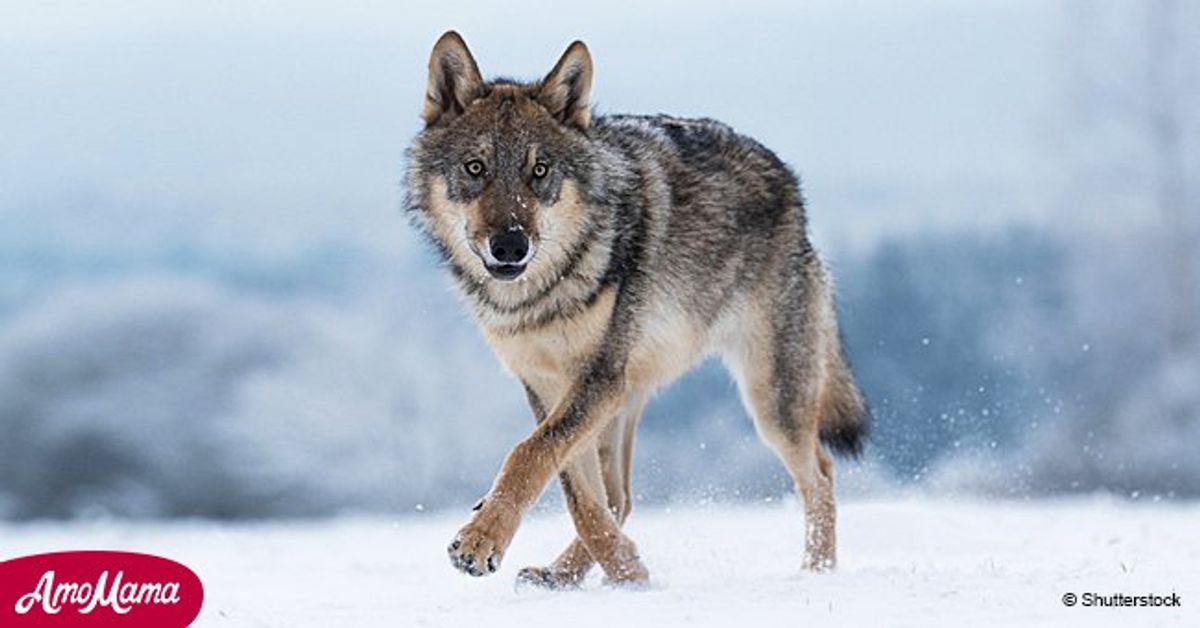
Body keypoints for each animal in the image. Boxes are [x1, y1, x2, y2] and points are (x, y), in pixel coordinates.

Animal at [405, 31, 868, 587]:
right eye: (476, 168)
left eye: (540, 171)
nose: (510, 246)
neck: (541, 295)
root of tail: (791, 184)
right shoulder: (547, 384)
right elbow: (575, 490)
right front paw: (626, 569)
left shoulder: (598, 378)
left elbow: (530, 454)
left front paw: (479, 542)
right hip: (630, 396)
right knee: (619, 497)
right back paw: (568, 573)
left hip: (768, 397)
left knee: (820, 474)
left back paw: (816, 573)